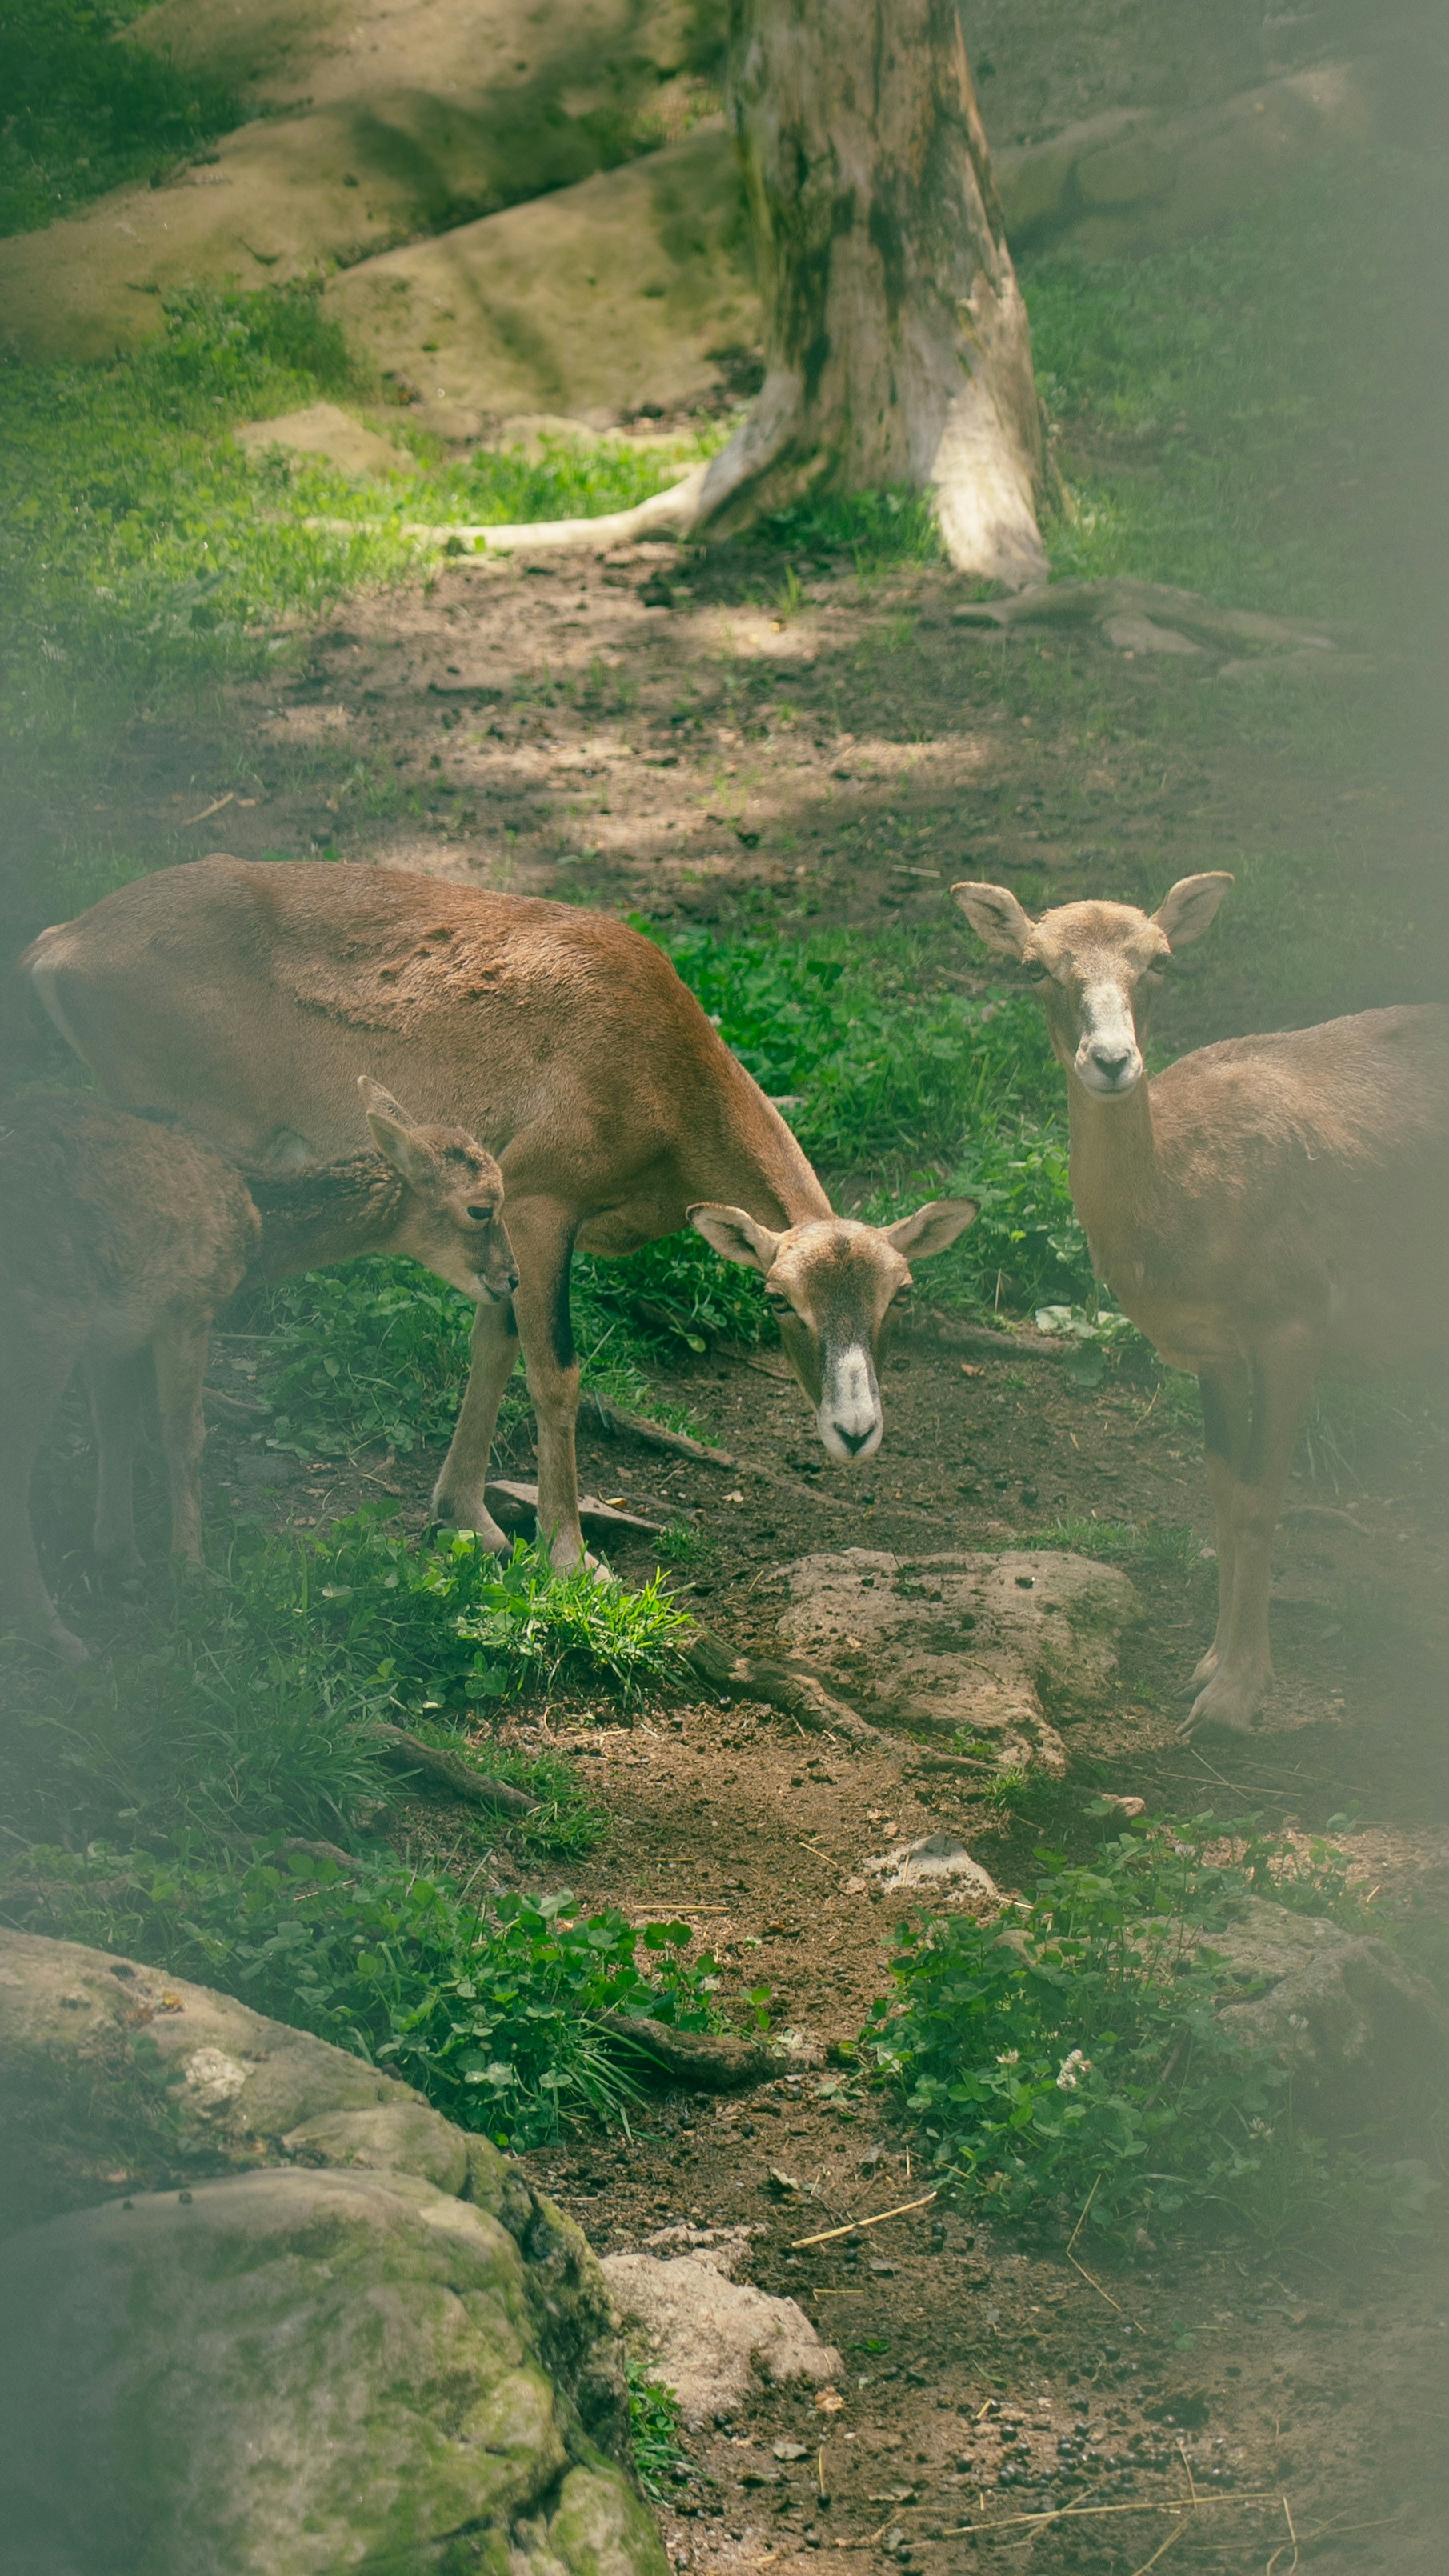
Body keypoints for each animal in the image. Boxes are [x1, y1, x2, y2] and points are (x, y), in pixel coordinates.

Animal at [0, 1078, 515, 1663]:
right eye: (481, 1208)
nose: (512, 1277)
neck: (256, 1221)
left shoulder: (117, 1329)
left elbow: (117, 1424)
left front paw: (119, 1554)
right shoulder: (189, 1302)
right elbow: (184, 1436)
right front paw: (191, 1574)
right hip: (42, 1323)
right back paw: (54, 1634)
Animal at [20, 856, 977, 1570]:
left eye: (897, 1294)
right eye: (777, 1298)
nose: (853, 1431)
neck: (660, 1075)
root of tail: (57, 945)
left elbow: (494, 1338)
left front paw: (468, 1517)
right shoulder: (542, 1201)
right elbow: (554, 1367)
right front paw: (569, 1555)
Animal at [952, 872, 1449, 1732]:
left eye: (1159, 960)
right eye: (1033, 965)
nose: (1111, 1061)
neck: (1183, 1204)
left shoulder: (1293, 1323)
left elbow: (1259, 1501)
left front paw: (1233, 1698)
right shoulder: (1210, 1351)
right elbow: (1220, 1494)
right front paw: (1206, 1665)